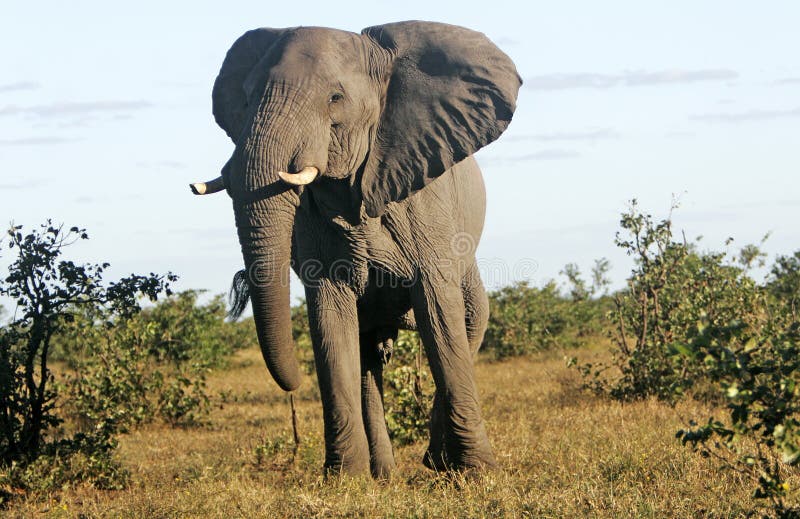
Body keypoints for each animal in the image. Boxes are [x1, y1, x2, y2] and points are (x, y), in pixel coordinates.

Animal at [190, 21, 521, 478]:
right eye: (247, 96)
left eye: (335, 98)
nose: (292, 385)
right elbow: (331, 325)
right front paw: (344, 479)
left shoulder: (426, 202)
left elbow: (439, 314)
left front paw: (477, 473)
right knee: (368, 362)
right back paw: (384, 475)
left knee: (467, 328)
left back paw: (436, 462)